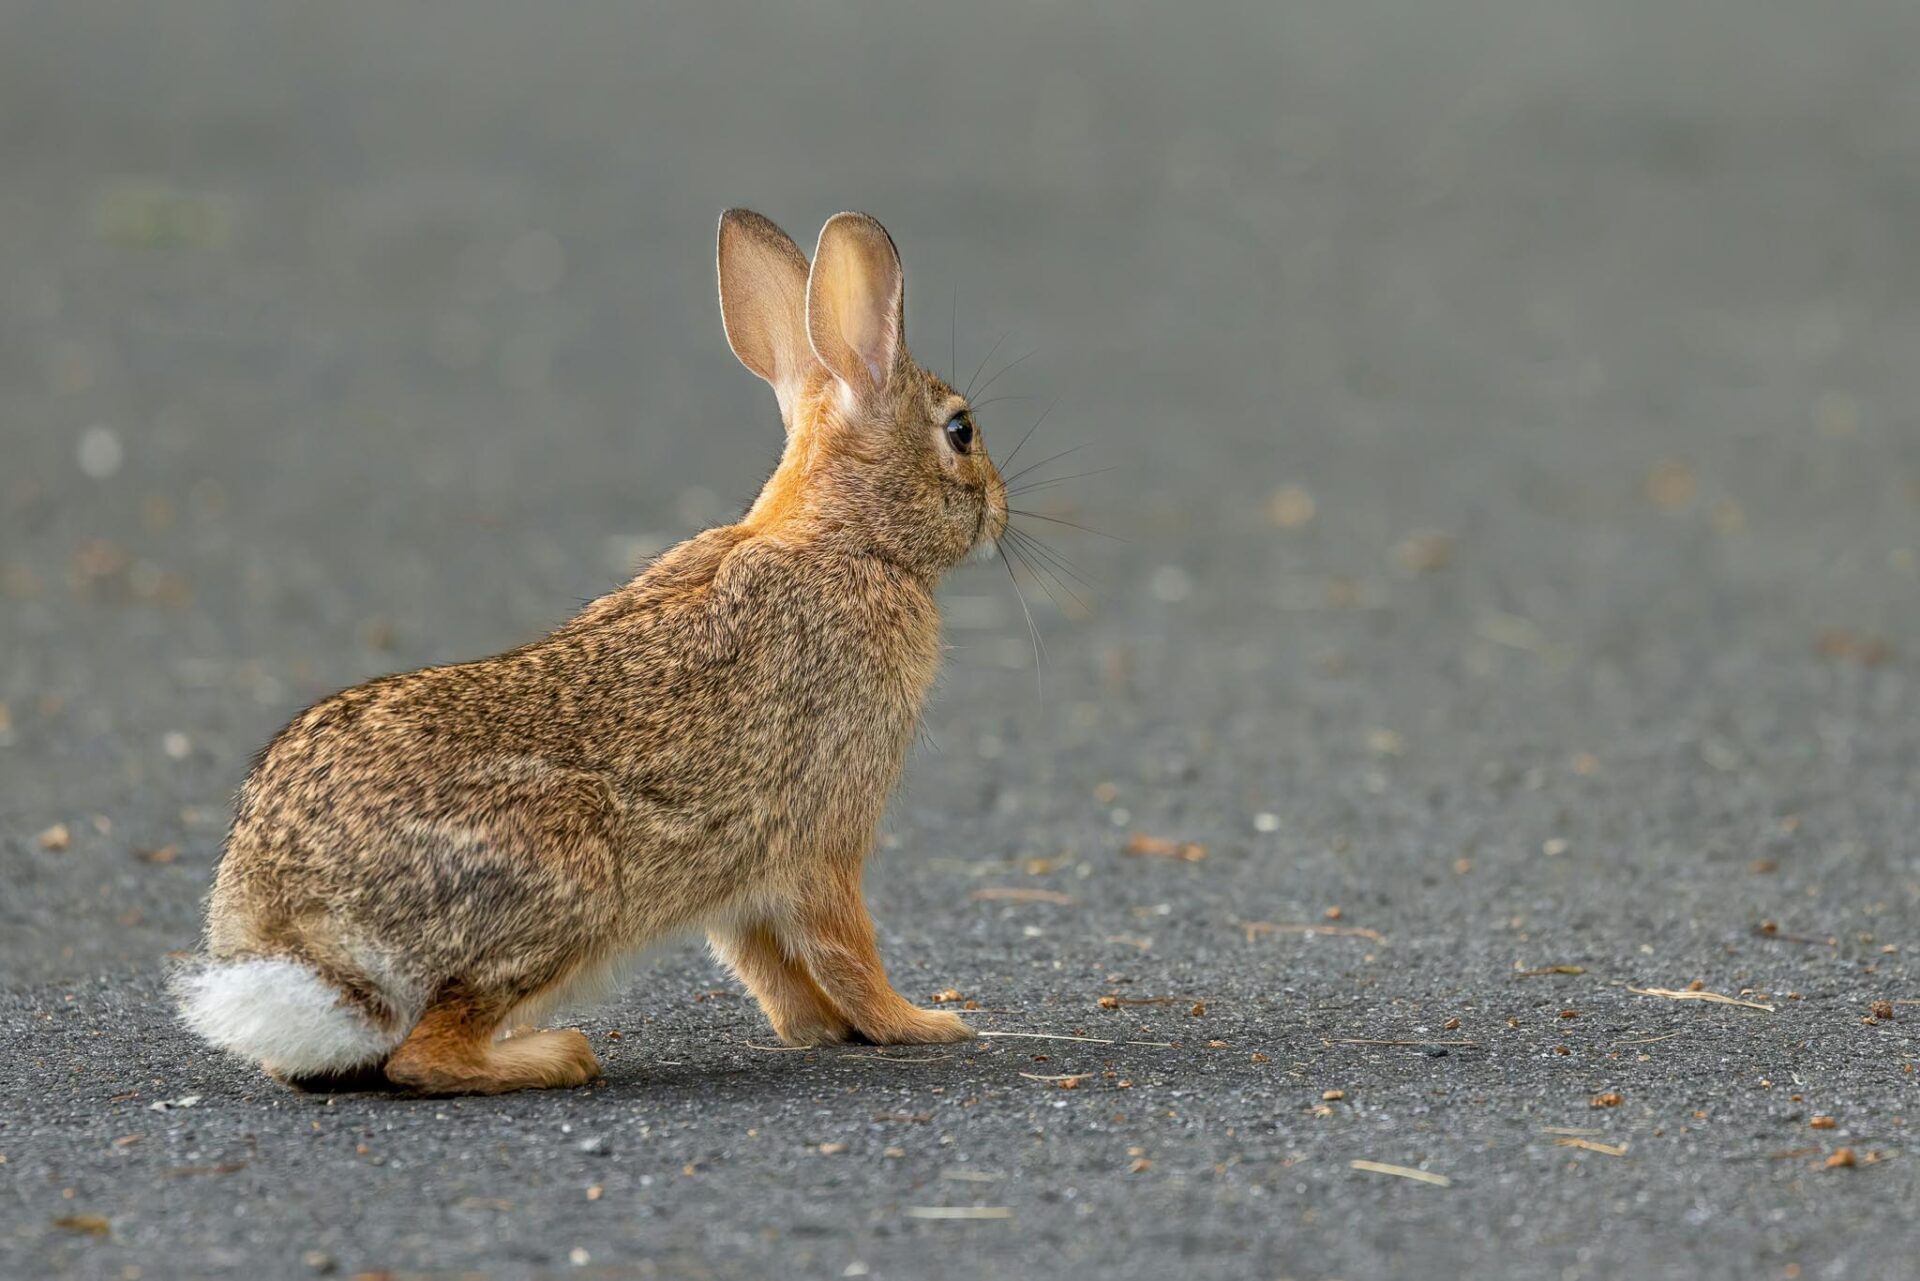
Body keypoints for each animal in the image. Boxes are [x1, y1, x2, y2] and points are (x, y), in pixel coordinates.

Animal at [174, 209, 1009, 1094]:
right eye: (961, 431)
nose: (1001, 505)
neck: (848, 536)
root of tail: (289, 941)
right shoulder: (826, 834)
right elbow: (847, 946)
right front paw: (922, 1025)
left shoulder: (739, 877)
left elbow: (766, 962)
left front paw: (819, 1029)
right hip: (568, 872)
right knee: (424, 1052)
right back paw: (559, 1052)